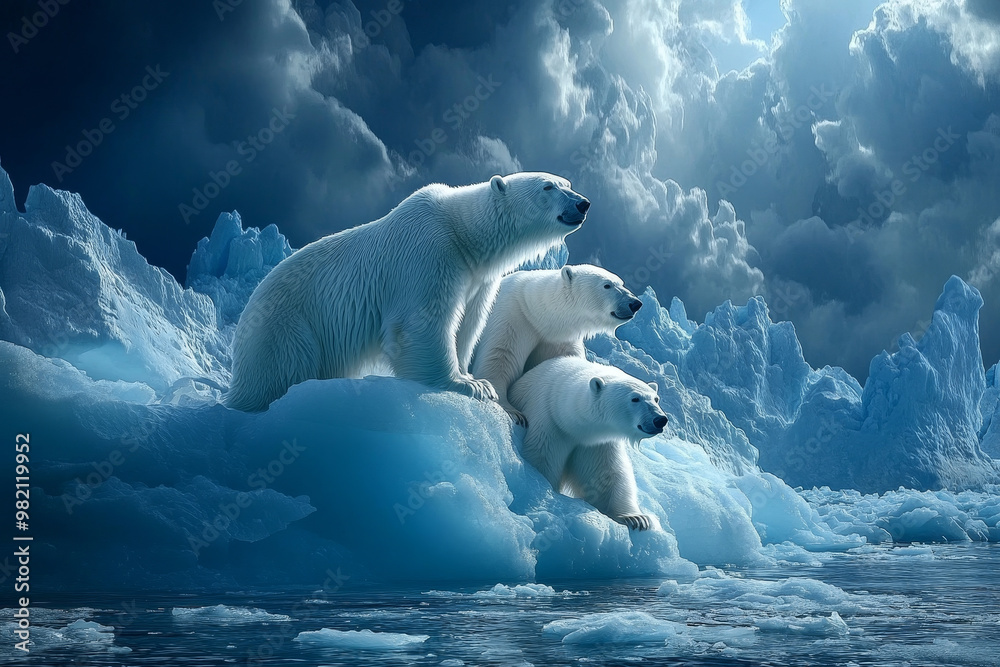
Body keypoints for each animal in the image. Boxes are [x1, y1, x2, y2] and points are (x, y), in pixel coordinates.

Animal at [225, 172, 590, 412]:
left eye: (568, 184)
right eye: (547, 186)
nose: (583, 204)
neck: (463, 233)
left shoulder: (478, 278)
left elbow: (467, 325)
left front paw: (473, 377)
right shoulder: (428, 253)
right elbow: (419, 324)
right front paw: (468, 385)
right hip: (287, 327)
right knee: (280, 370)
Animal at [471, 264, 642, 425]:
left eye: (621, 283)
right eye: (607, 285)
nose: (636, 303)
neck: (541, 315)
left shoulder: (561, 339)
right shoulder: (514, 318)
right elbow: (501, 357)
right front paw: (511, 411)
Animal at [509, 356, 667, 530]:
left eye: (656, 399)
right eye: (635, 398)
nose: (660, 420)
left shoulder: (597, 443)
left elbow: (607, 475)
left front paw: (636, 518)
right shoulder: (549, 421)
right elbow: (541, 458)